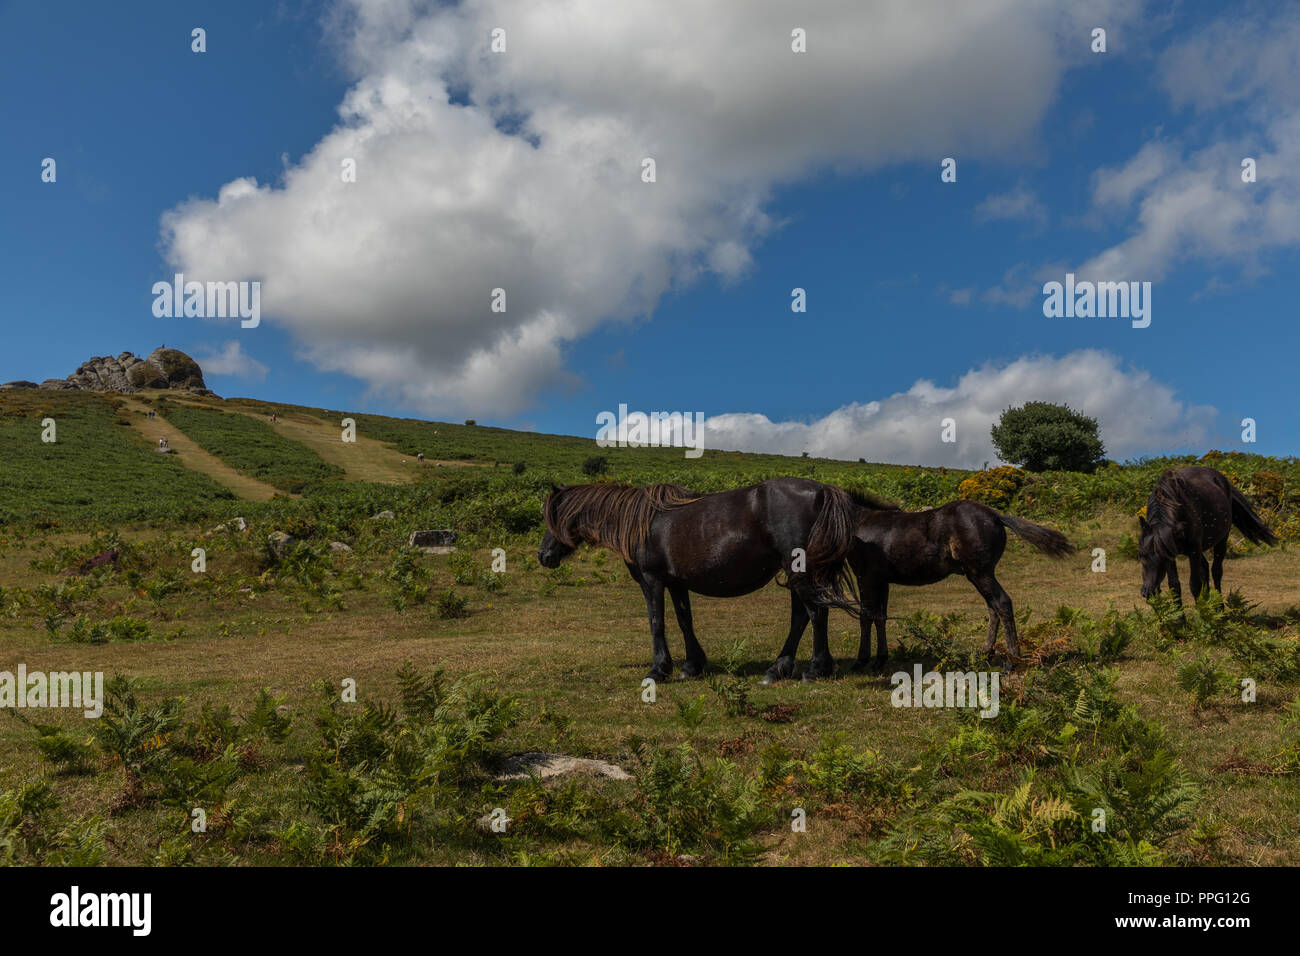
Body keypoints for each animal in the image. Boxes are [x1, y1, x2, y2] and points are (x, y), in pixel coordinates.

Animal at [537, 477, 882, 682]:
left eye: (552, 518)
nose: (544, 556)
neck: (642, 521)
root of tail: (823, 491)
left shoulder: (652, 580)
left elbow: (656, 622)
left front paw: (658, 670)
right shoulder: (676, 582)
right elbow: (684, 621)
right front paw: (692, 666)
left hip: (800, 571)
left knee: (815, 613)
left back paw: (815, 669)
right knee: (801, 617)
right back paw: (778, 669)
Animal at [1138, 466, 1276, 603]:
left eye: (1162, 557)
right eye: (1142, 555)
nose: (1148, 592)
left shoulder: (1193, 550)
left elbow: (1195, 585)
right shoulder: (1172, 550)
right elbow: (1174, 586)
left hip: (1220, 541)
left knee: (1216, 571)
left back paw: (1219, 606)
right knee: (1205, 569)